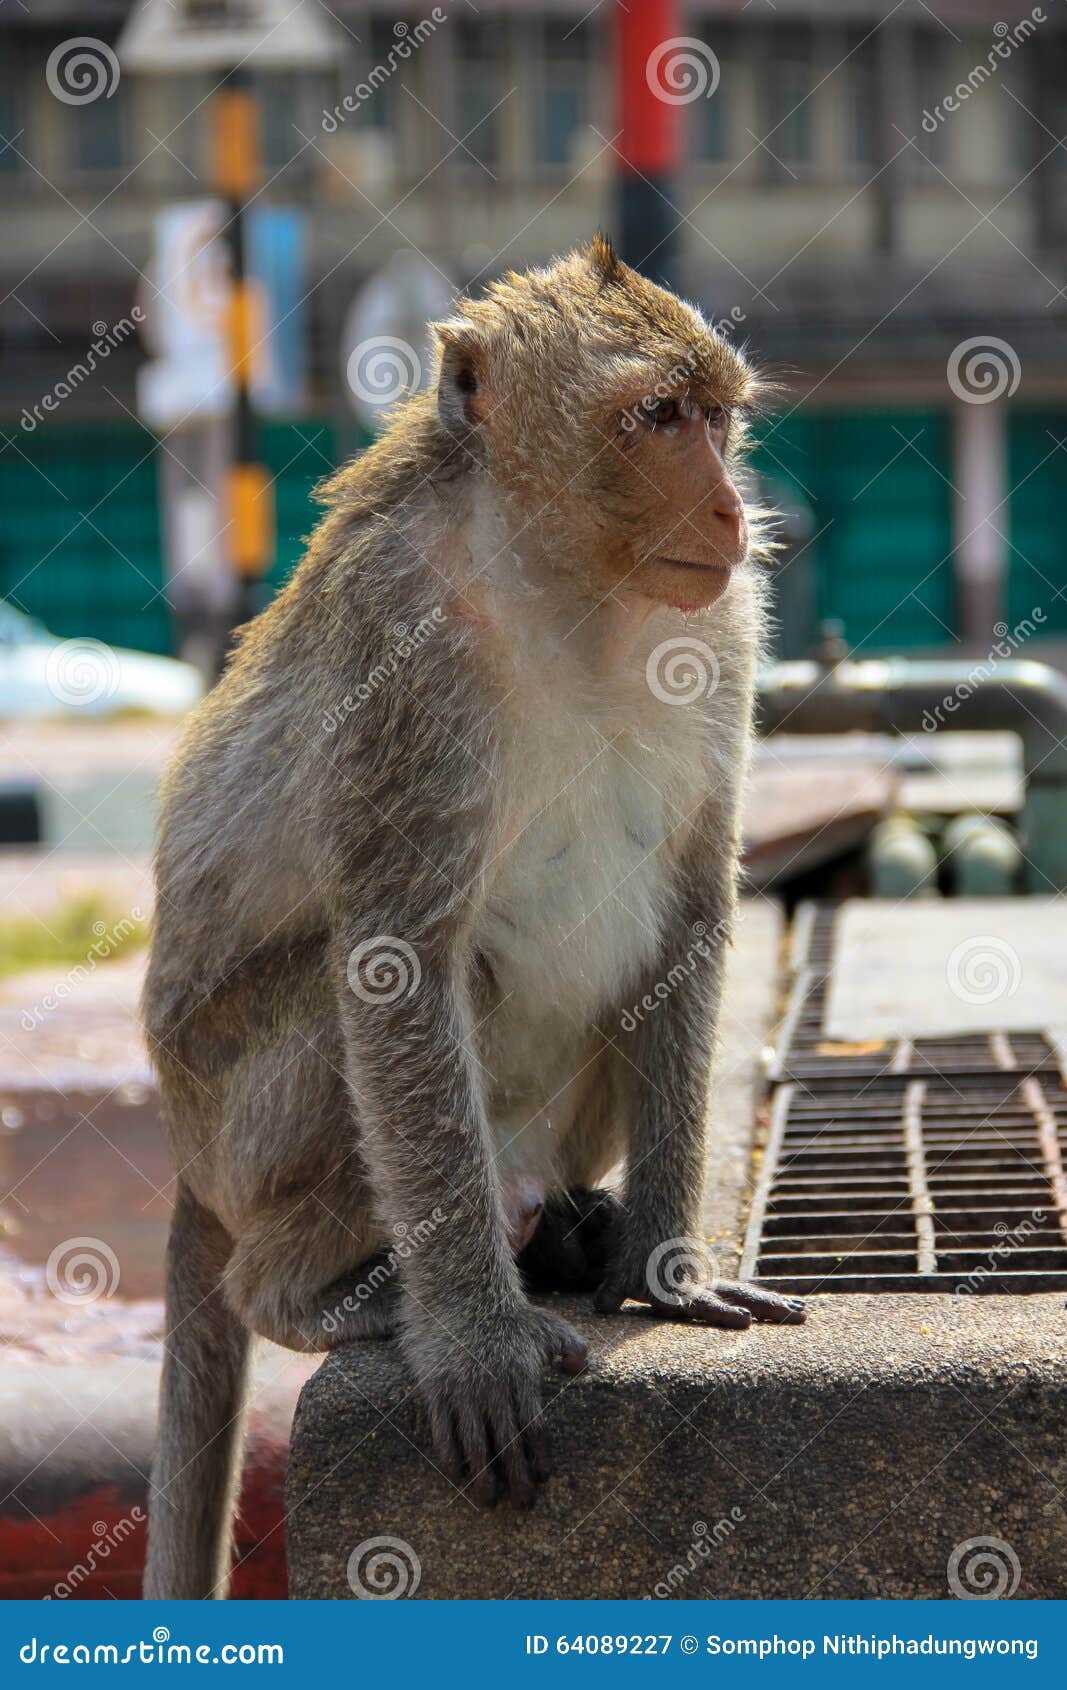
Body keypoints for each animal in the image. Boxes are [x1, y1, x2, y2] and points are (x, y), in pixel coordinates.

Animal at [141, 237, 805, 1600]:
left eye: (717, 416)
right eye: (655, 418)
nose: (729, 510)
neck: (567, 586)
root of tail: (181, 1154)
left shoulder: (722, 621)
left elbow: (694, 909)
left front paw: (663, 1264)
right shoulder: (406, 644)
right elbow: (397, 955)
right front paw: (475, 1346)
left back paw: (571, 1235)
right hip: (235, 1126)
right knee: (445, 995)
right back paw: (318, 1293)